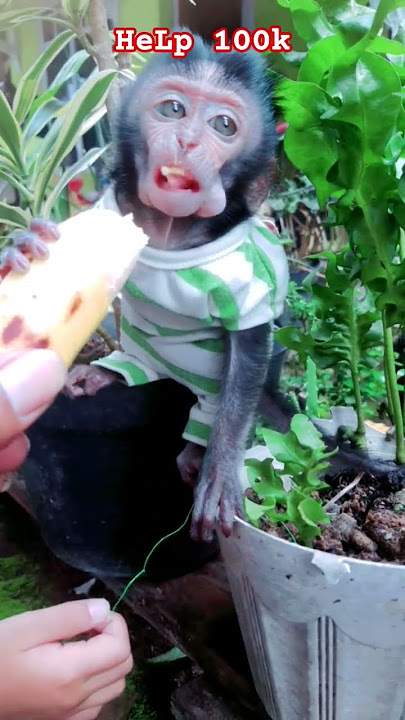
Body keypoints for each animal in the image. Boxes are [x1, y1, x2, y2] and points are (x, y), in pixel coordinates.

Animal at [0, 32, 289, 544]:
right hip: (141, 352)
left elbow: (250, 348)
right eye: (173, 109)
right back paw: (110, 374)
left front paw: (221, 468)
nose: (187, 140)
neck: (171, 233)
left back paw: (197, 451)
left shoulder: (248, 276)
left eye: (223, 125)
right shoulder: (111, 206)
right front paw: (24, 245)